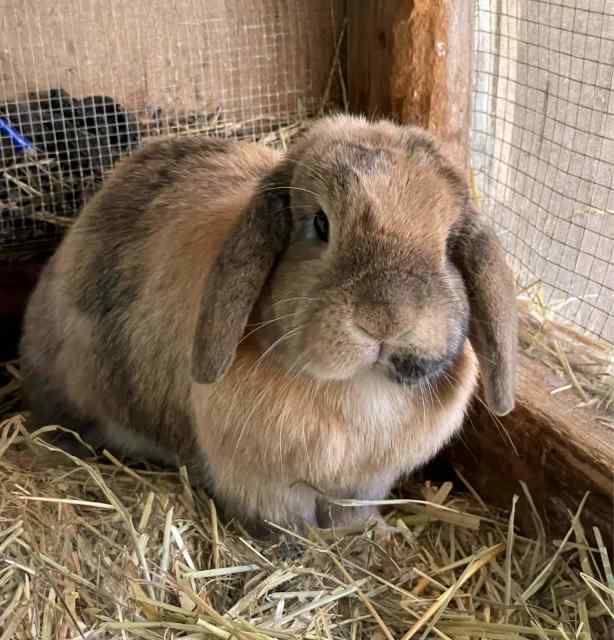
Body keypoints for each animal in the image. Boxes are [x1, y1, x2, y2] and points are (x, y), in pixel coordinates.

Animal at [20, 114, 517, 536]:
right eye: (320, 224)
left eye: (448, 244)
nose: (386, 319)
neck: (358, 388)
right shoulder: (265, 482)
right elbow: (282, 519)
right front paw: (299, 544)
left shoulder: (366, 481)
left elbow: (352, 512)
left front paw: (370, 533)